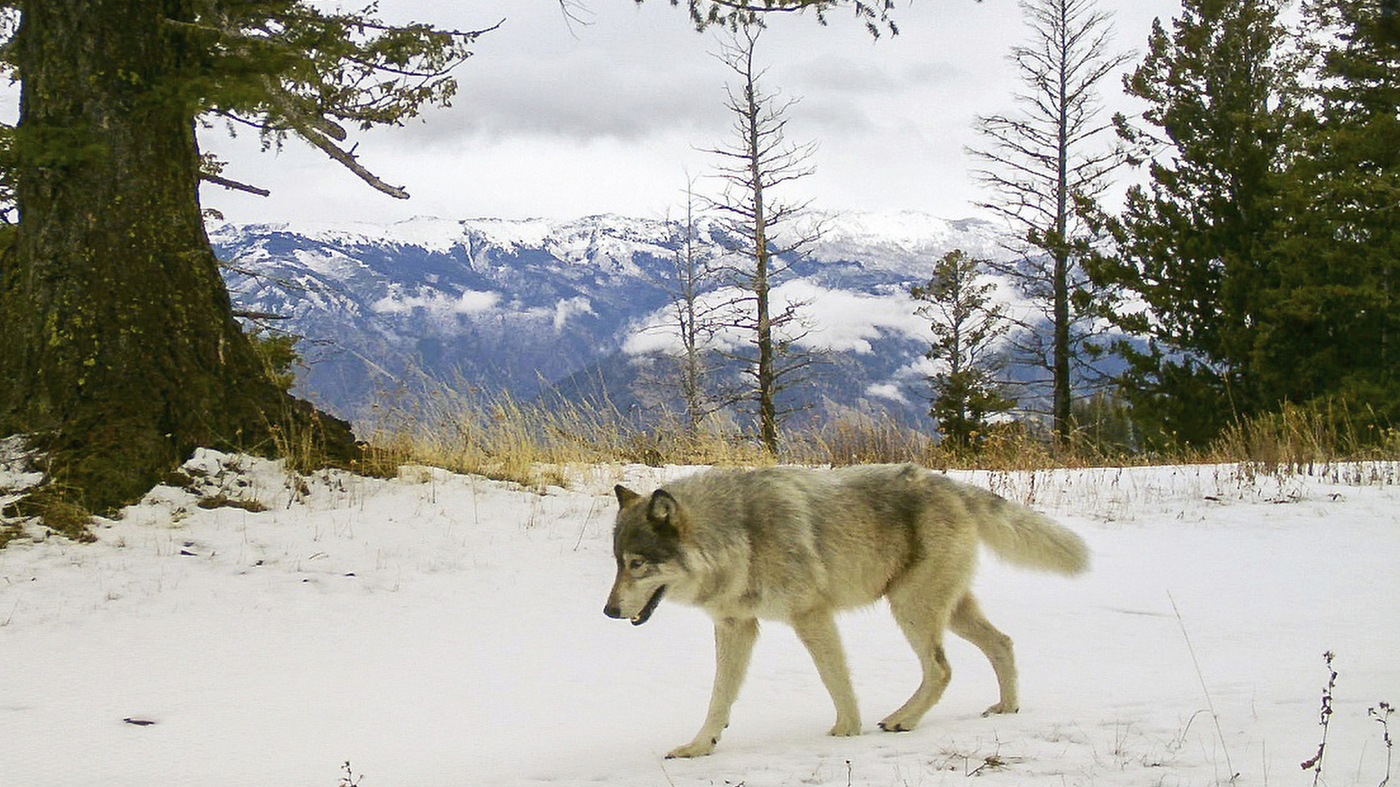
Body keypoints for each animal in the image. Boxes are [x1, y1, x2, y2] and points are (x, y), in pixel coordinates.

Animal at [603, 463, 1089, 758]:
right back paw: (1007, 707)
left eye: (637, 564)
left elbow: (834, 678)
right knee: (1002, 642)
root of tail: (950, 484)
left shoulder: (811, 616)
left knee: (941, 668)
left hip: (911, 608)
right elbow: (719, 695)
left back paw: (902, 720)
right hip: (947, 610)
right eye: (617, 563)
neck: (740, 536)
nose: (608, 611)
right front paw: (700, 747)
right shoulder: (735, 625)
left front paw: (847, 732)